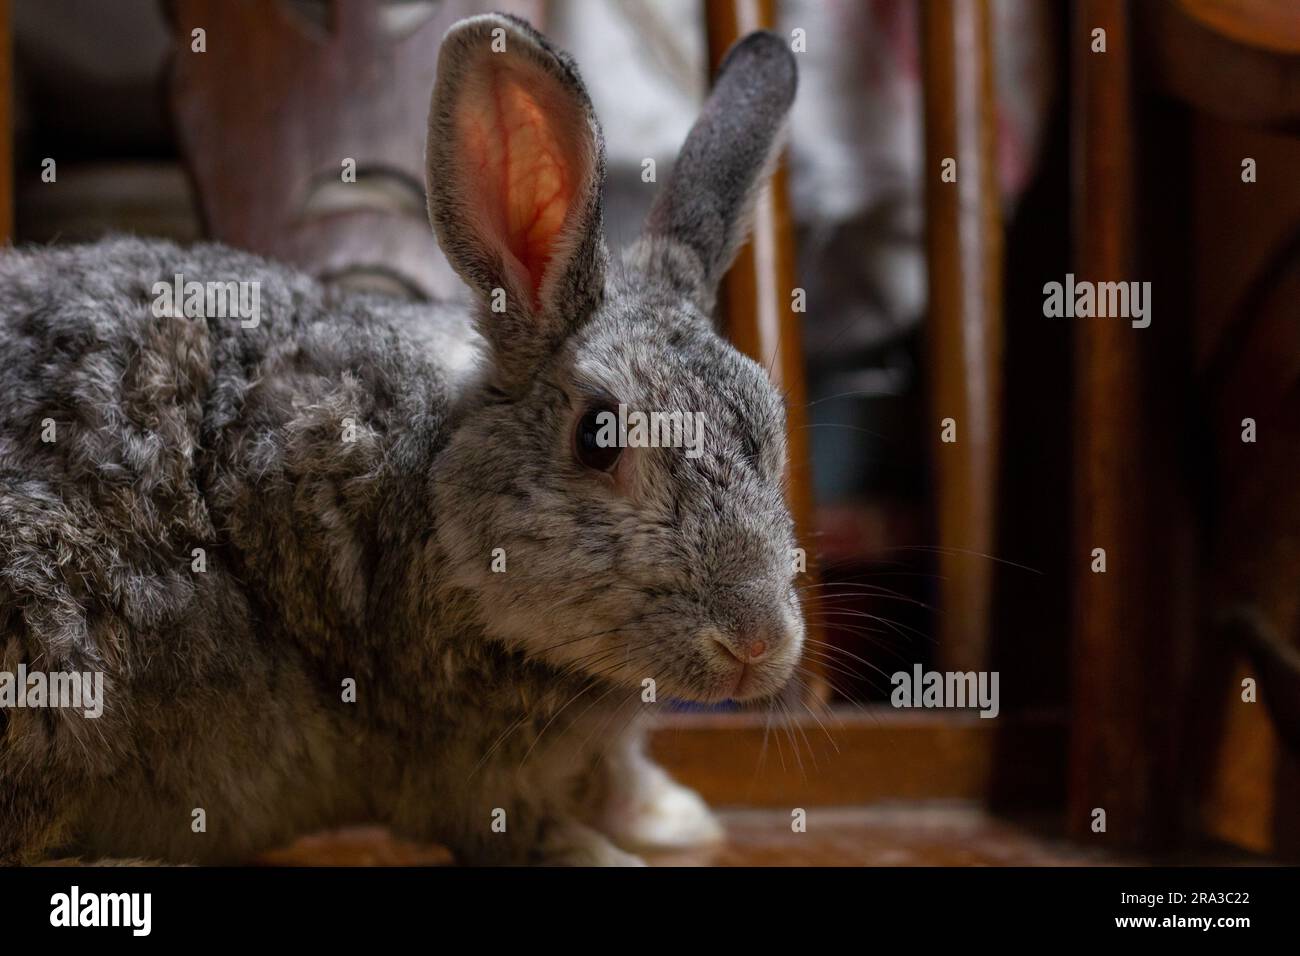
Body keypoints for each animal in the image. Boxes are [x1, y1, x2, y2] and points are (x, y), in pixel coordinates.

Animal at [0, 13, 803, 866]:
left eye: (774, 425)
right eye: (600, 438)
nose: (756, 643)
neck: (429, 498)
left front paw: (677, 820)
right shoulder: (456, 760)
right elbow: (520, 825)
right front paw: (608, 852)